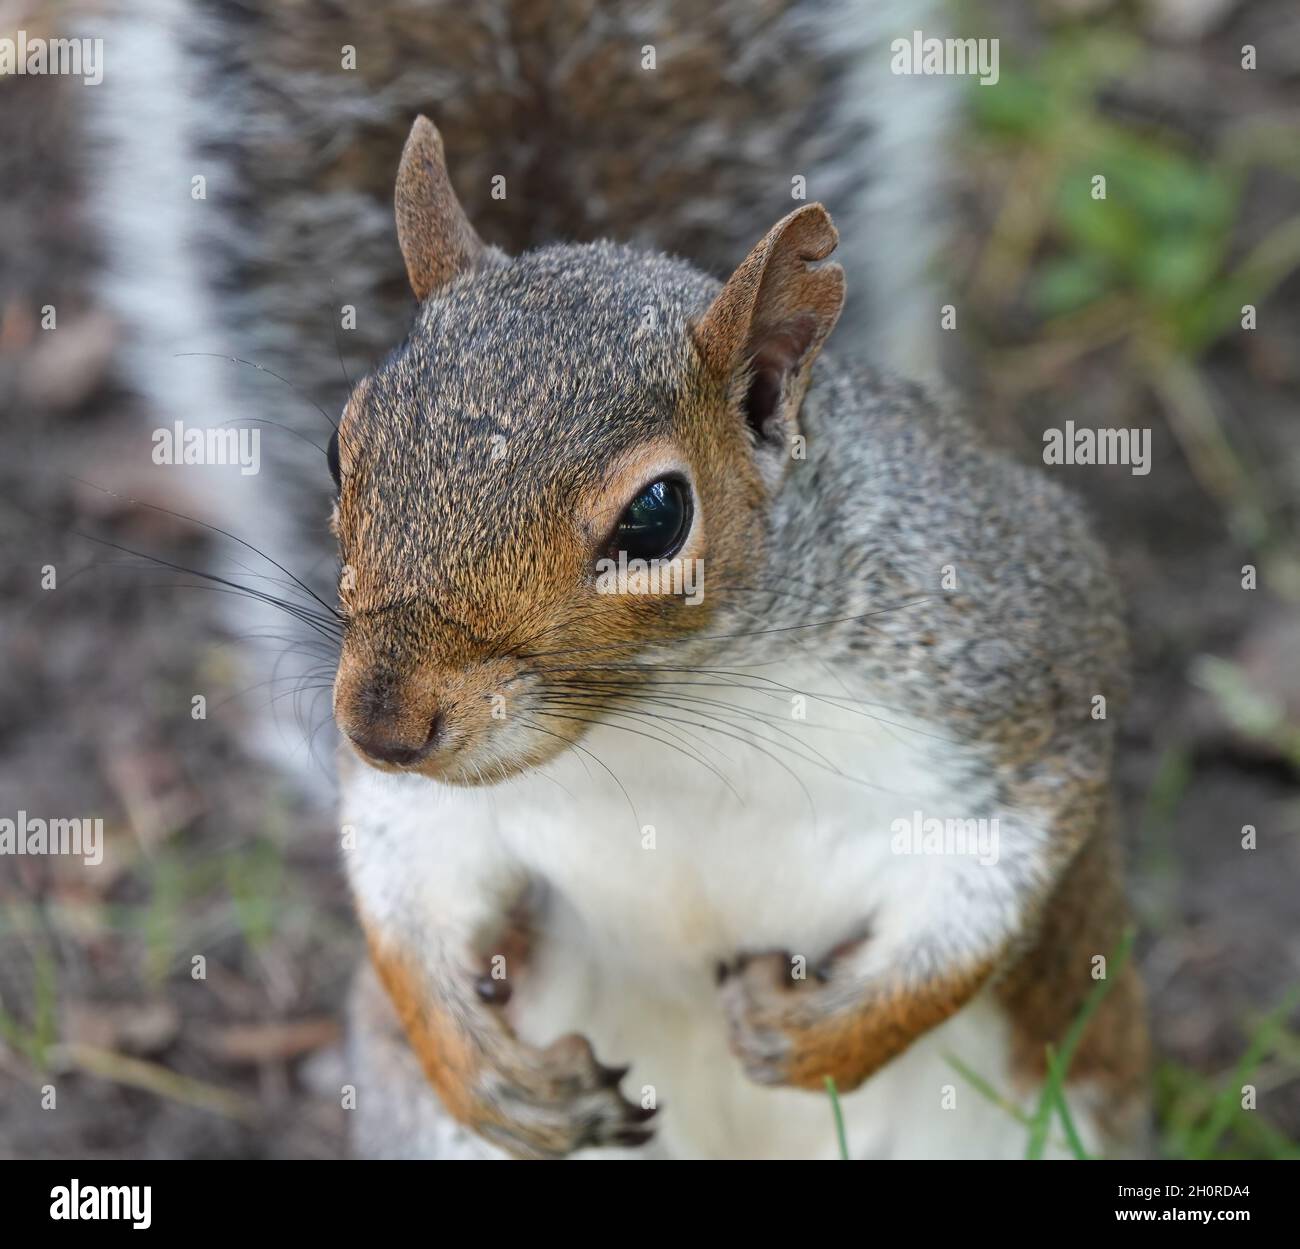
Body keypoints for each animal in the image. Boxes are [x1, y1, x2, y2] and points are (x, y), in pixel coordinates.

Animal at [333, 117, 1149, 1160]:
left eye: (655, 516)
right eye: (339, 448)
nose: (383, 727)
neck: (672, 712)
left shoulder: (1006, 678)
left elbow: (990, 883)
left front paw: (813, 1034)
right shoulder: (442, 806)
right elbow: (408, 867)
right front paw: (484, 1070)